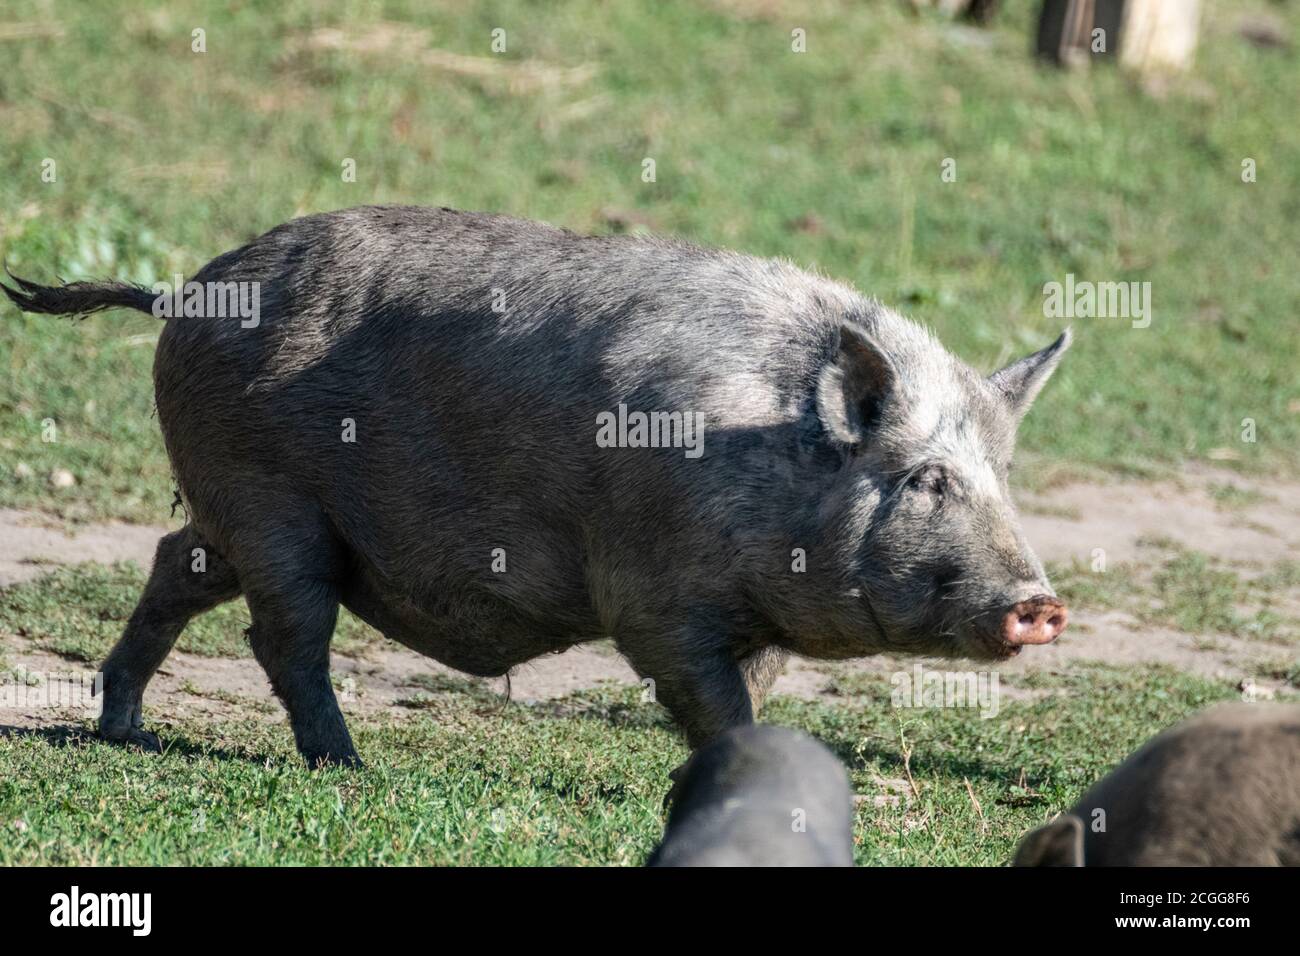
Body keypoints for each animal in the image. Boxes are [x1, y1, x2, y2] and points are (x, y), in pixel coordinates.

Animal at [3, 205, 1070, 768]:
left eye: (1005, 476)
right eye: (926, 479)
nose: (1043, 603)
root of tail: (181, 293)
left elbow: (753, 693)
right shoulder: (653, 596)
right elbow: (709, 697)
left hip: (230, 509)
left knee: (171, 567)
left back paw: (124, 728)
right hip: (272, 505)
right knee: (284, 636)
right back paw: (348, 763)